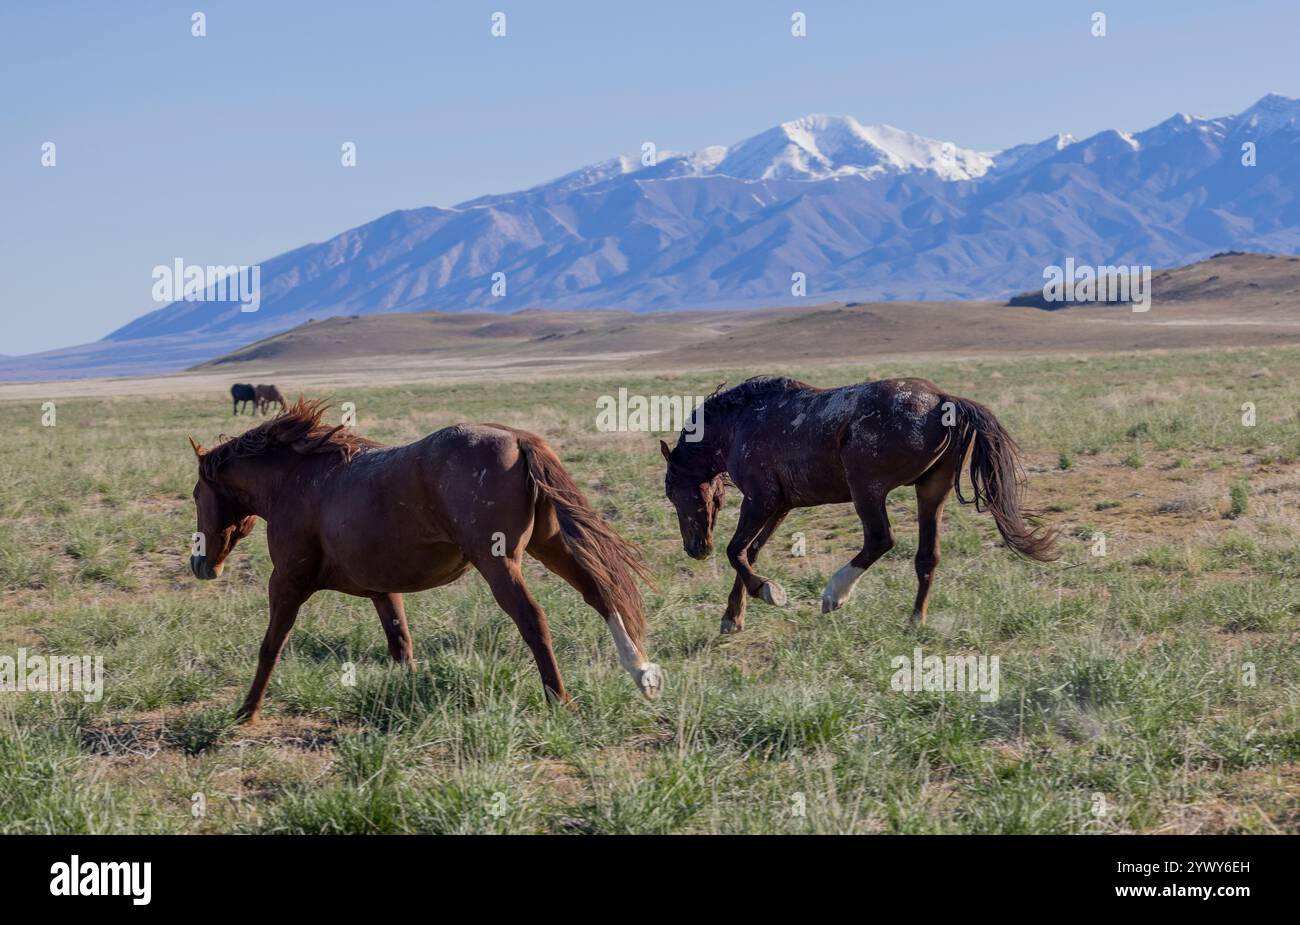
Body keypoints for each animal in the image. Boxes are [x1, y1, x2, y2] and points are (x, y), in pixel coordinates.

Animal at [187, 398, 661, 723]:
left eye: (195, 495)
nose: (200, 565)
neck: (297, 481)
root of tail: (518, 438)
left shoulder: (287, 582)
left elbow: (272, 644)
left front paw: (245, 712)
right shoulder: (383, 591)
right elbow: (402, 646)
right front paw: (407, 700)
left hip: (499, 563)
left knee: (533, 618)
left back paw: (560, 701)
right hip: (550, 545)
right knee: (600, 593)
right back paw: (642, 675)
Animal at [660, 376, 1057, 634]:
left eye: (673, 492)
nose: (695, 549)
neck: (742, 423)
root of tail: (944, 399)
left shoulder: (760, 500)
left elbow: (736, 551)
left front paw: (769, 592)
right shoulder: (780, 506)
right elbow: (750, 553)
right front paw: (732, 618)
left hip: (867, 489)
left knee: (880, 540)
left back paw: (834, 595)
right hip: (932, 491)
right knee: (927, 556)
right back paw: (914, 622)